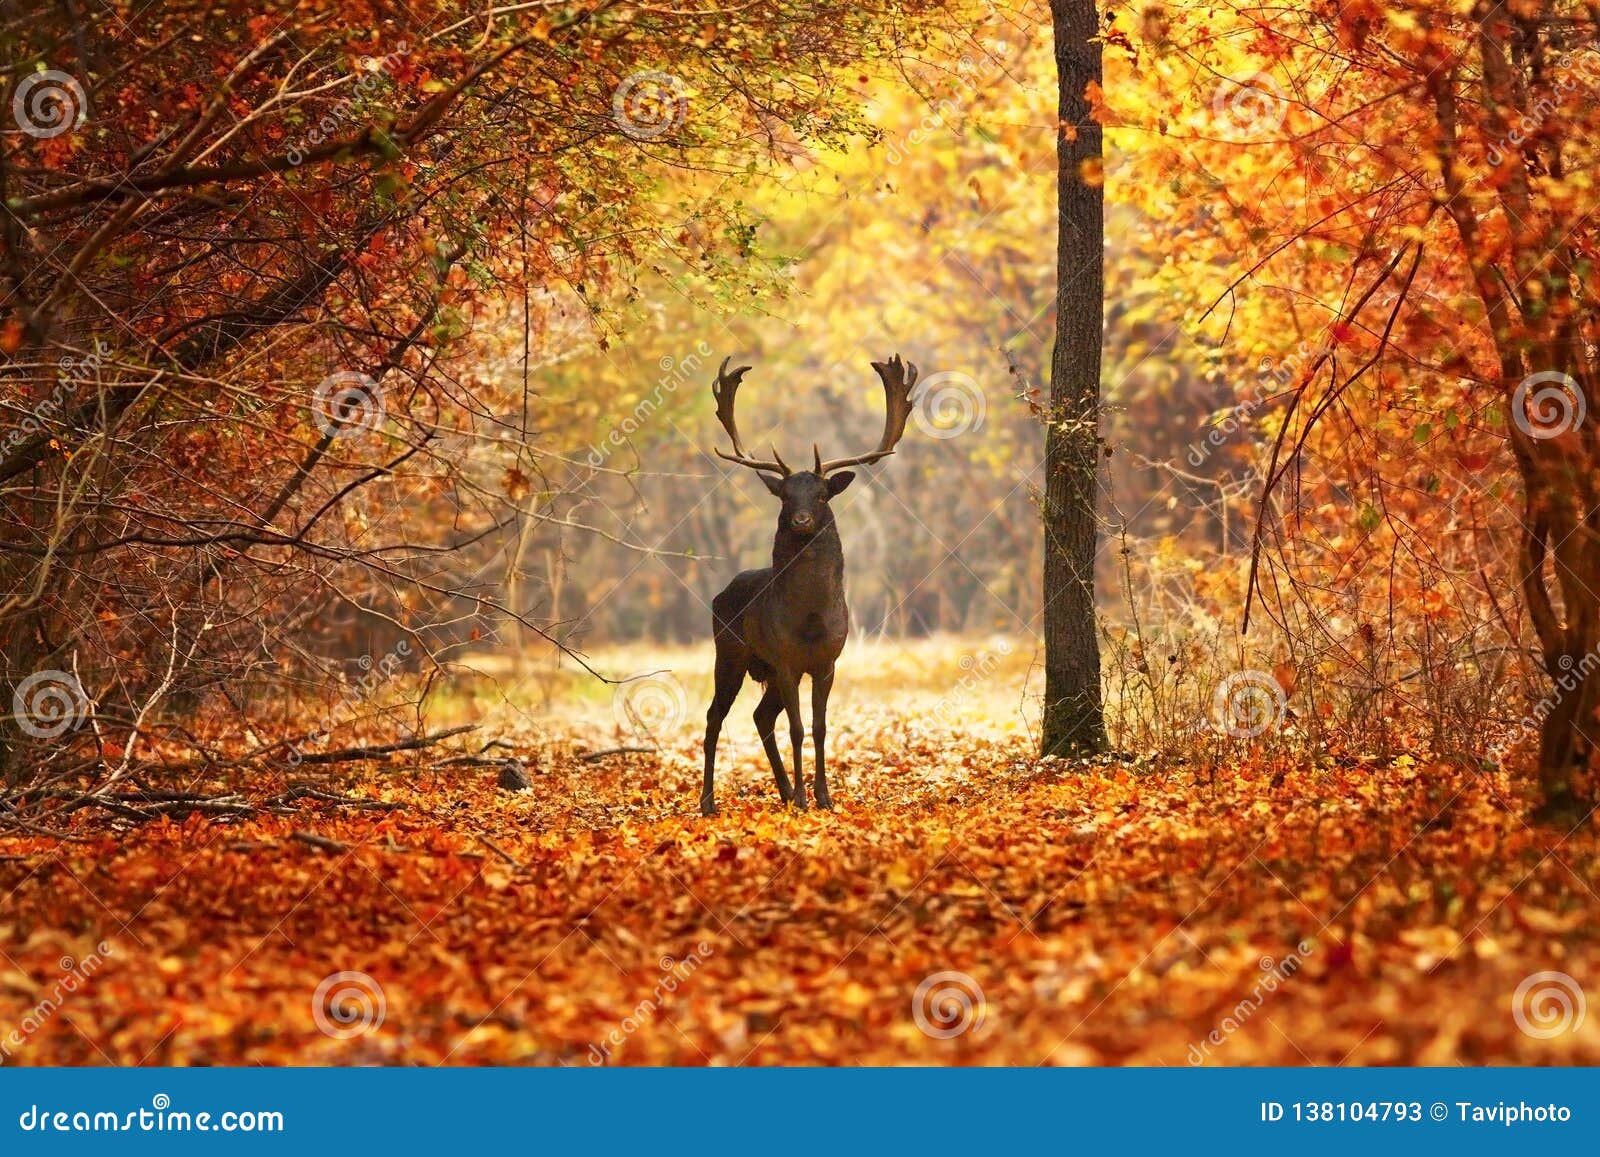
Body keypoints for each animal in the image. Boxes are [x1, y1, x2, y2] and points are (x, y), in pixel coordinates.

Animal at [700, 354, 917, 816]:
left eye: (821, 495)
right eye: (785, 495)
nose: (800, 520)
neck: (812, 618)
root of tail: (720, 593)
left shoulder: (826, 661)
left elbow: (819, 727)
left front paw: (822, 796)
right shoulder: (786, 660)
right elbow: (798, 728)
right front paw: (804, 798)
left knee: (760, 716)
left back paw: (782, 790)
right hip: (729, 651)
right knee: (715, 717)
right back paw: (709, 802)